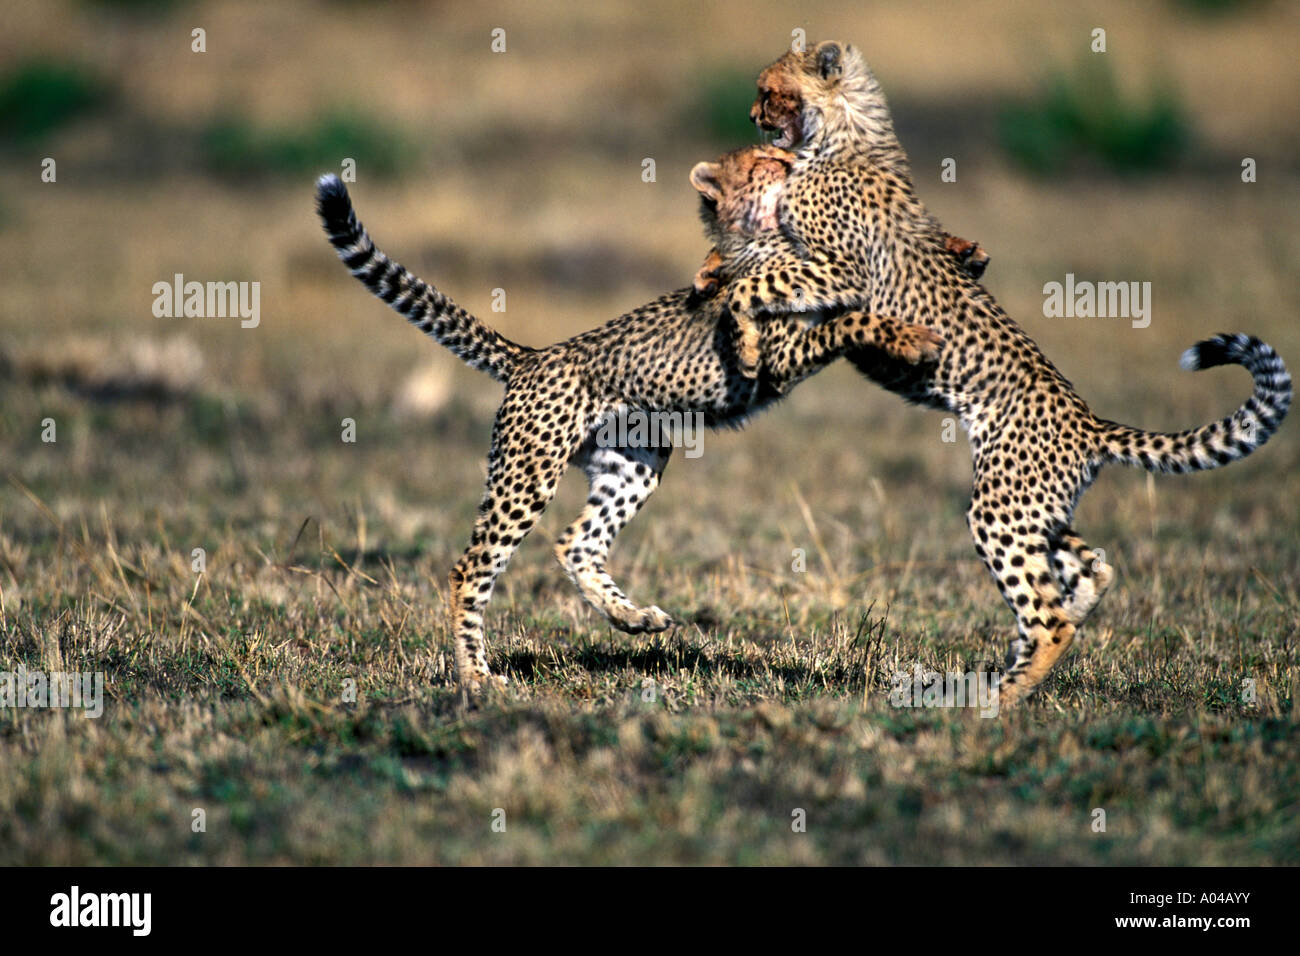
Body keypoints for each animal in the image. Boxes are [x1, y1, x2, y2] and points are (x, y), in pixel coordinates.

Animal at [314, 172, 942, 694]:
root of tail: (533, 355)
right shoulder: (777, 353)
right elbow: (848, 319)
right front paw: (910, 336)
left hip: (637, 462)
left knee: (576, 543)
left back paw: (631, 617)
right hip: (528, 474)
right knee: (471, 569)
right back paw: (476, 676)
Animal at [727, 39, 1292, 708]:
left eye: (769, 92)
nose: (753, 116)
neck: (847, 134)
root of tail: (1090, 423)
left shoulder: (839, 269)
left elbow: (752, 285)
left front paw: (742, 340)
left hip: (1000, 510)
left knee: (1051, 618)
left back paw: (1004, 694)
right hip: (1036, 511)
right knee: (1093, 567)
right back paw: (1040, 640)